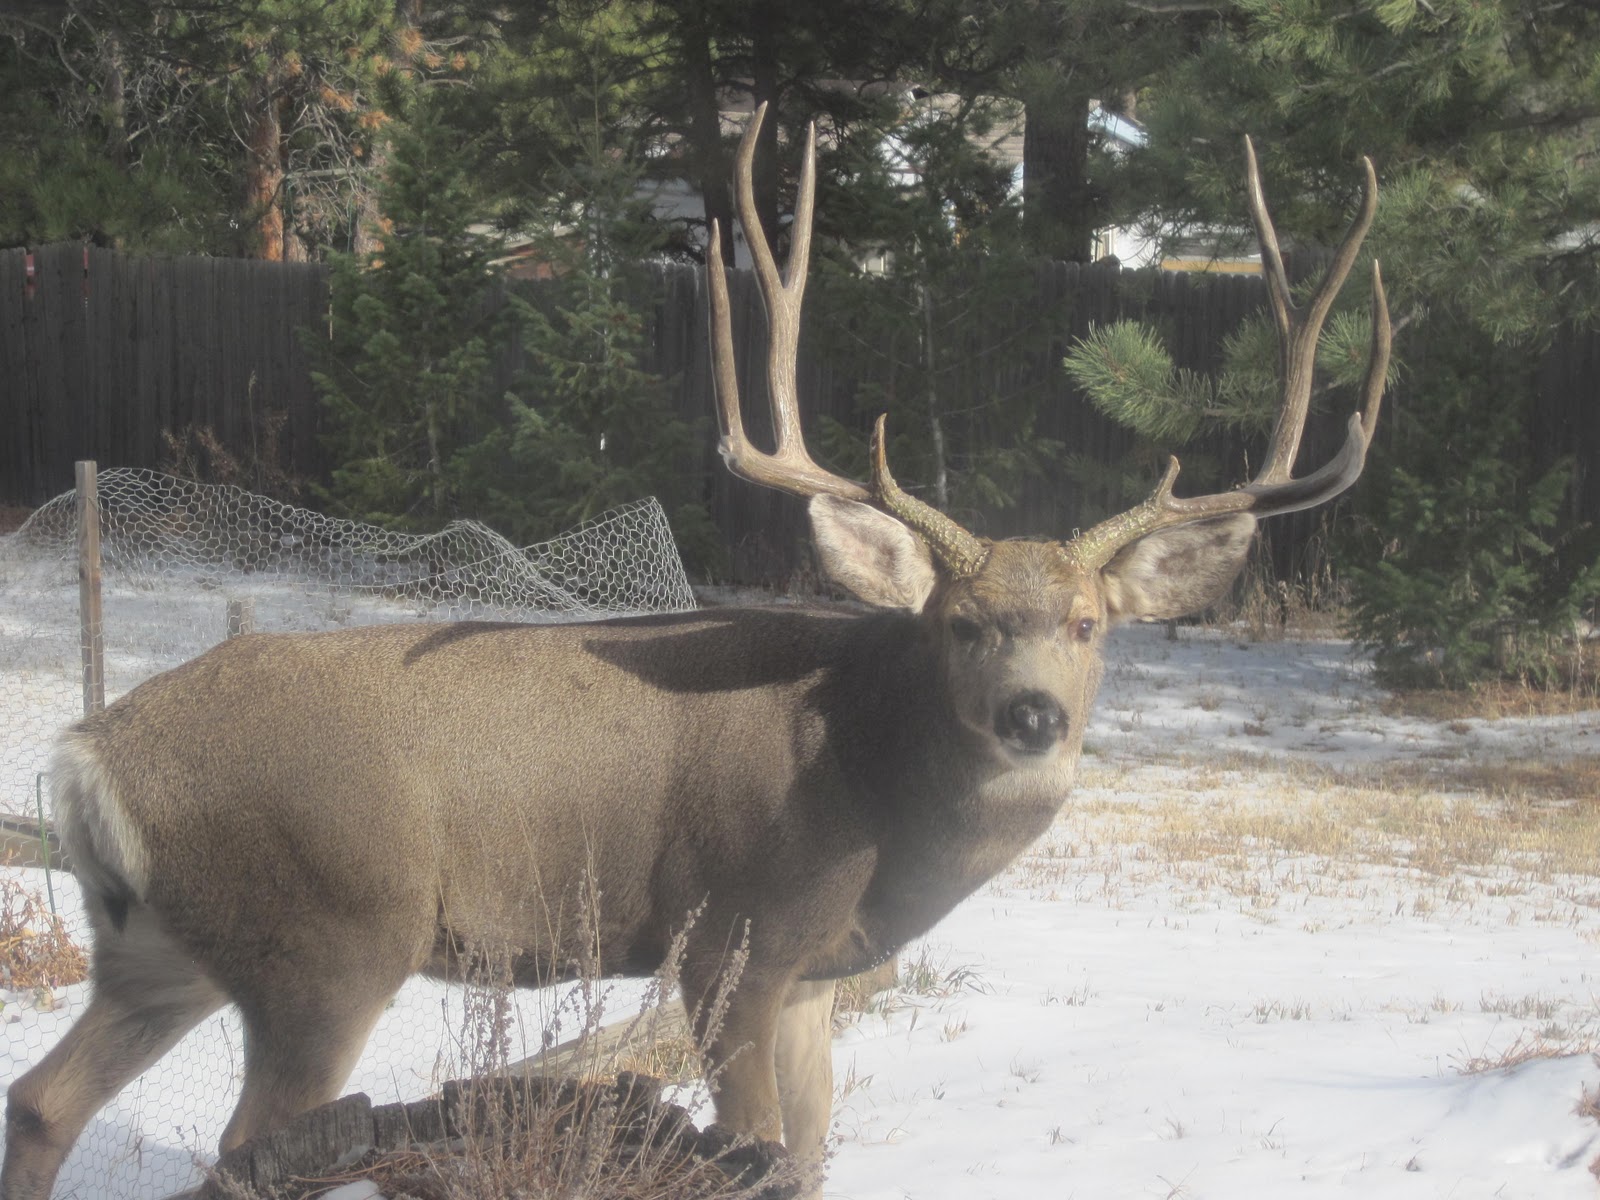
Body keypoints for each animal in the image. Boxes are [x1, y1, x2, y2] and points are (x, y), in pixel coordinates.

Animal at [0, 105, 1388, 1200]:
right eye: (960, 623)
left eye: (1089, 625)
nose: (1033, 716)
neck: (880, 793)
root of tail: (83, 750)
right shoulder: (734, 935)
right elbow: (760, 1151)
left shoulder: (822, 973)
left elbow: (814, 1160)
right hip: (328, 939)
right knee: (248, 1144)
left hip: (161, 945)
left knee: (44, 1101)